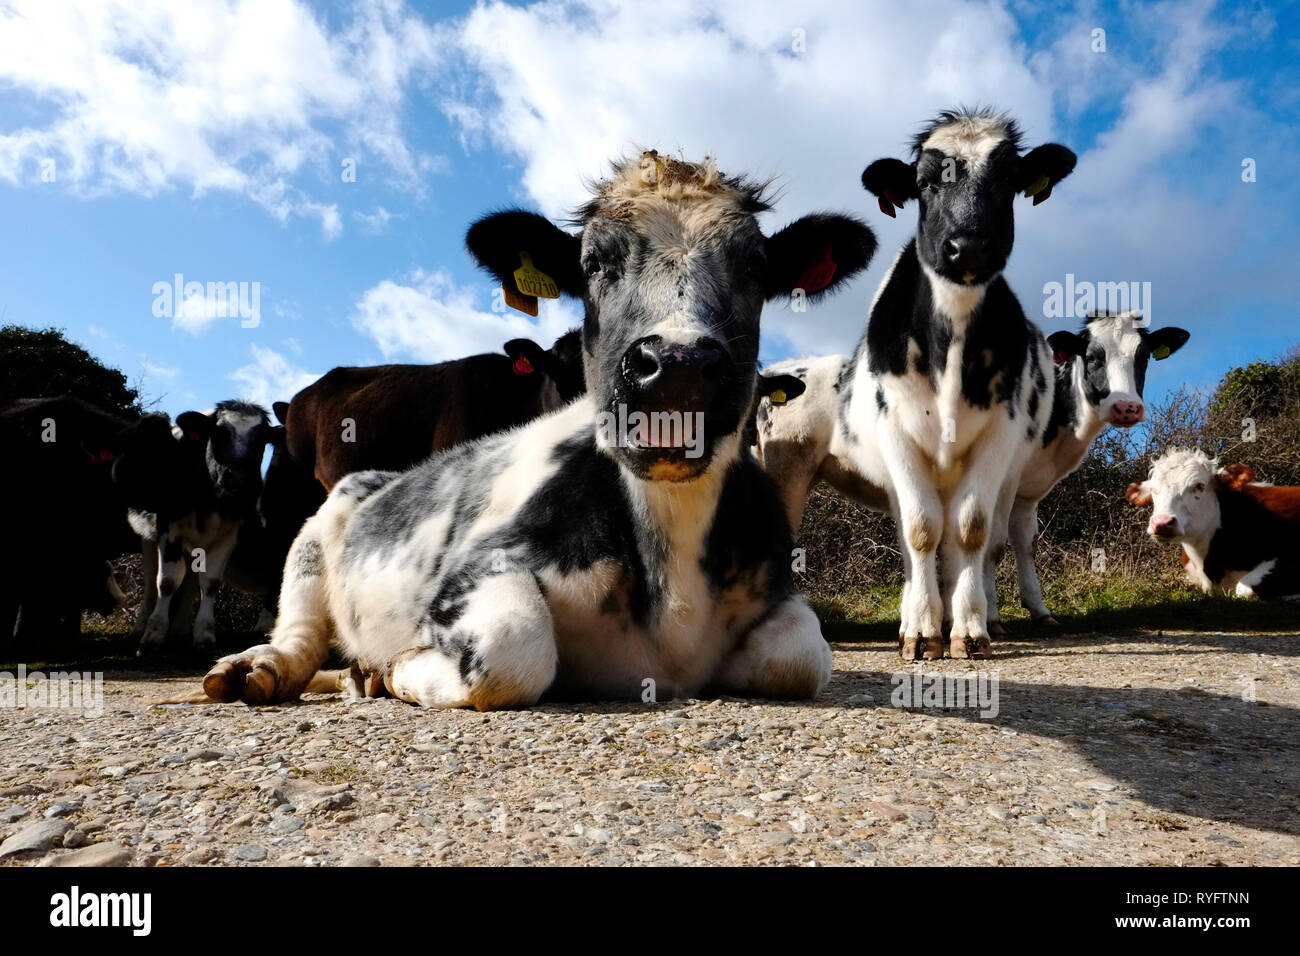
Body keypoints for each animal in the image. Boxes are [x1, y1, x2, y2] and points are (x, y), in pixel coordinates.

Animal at [135, 401, 276, 654]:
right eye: (218, 434)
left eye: (260, 439)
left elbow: (209, 583)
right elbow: (167, 581)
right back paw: (140, 627)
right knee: (151, 582)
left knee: (190, 580)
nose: (237, 476)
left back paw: (180, 630)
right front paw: (153, 636)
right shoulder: (168, 529)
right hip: (148, 537)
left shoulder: (229, 534)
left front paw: (204, 635)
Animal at [202, 149, 877, 709]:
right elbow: (513, 648)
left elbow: (804, 655)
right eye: (593, 264)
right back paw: (260, 669)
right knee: (299, 632)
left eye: (755, 267)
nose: (679, 365)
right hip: (315, 535)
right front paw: (395, 670)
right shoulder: (474, 574)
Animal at [756, 309, 1189, 628]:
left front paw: (1036, 611)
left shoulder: (1026, 489)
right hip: (789, 469)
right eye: (1094, 356)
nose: (1126, 407)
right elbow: (992, 545)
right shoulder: (1003, 476)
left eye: (1143, 357)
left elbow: (1022, 543)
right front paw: (989, 616)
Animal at [845, 108, 1075, 659]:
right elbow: (920, 532)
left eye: (1009, 181)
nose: (968, 246)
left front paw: (967, 629)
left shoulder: (1000, 435)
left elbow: (971, 532)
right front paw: (921, 631)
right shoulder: (895, 433)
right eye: (925, 183)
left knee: (983, 541)